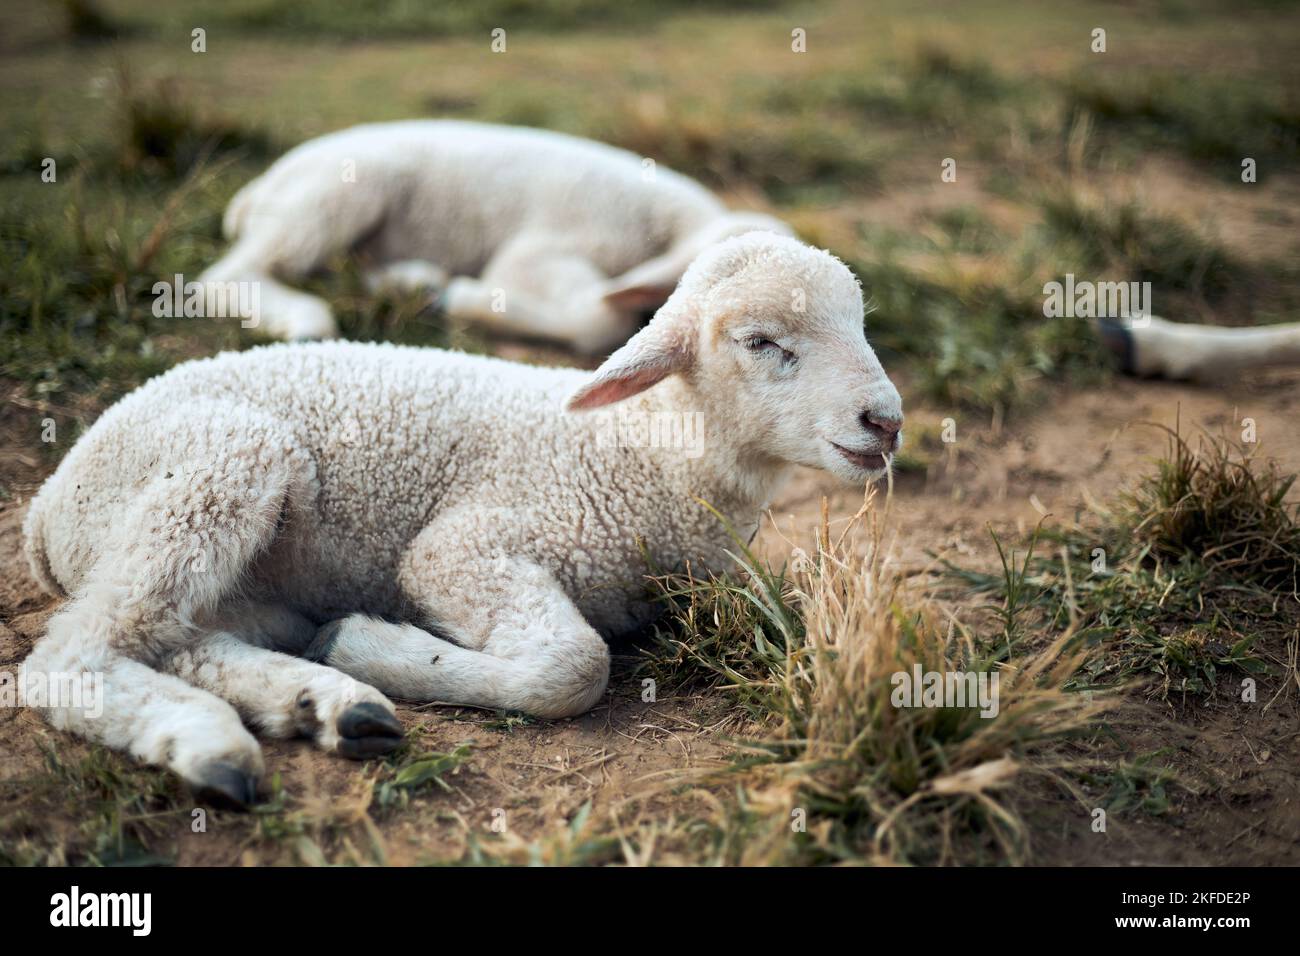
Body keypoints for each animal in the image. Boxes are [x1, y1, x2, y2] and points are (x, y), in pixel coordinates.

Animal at [22, 231, 902, 807]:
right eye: (761, 341)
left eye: (862, 324)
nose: (886, 421)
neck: (644, 451)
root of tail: (45, 507)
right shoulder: (465, 545)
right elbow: (574, 667)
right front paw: (374, 646)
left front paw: (350, 658)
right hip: (213, 469)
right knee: (73, 655)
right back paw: (222, 740)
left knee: (185, 638)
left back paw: (326, 705)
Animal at [200, 119, 791, 351]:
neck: (667, 222)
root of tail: (255, 190)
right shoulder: (540, 252)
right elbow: (596, 319)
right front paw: (468, 302)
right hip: (338, 191)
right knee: (226, 277)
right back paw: (307, 320)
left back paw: (410, 283)